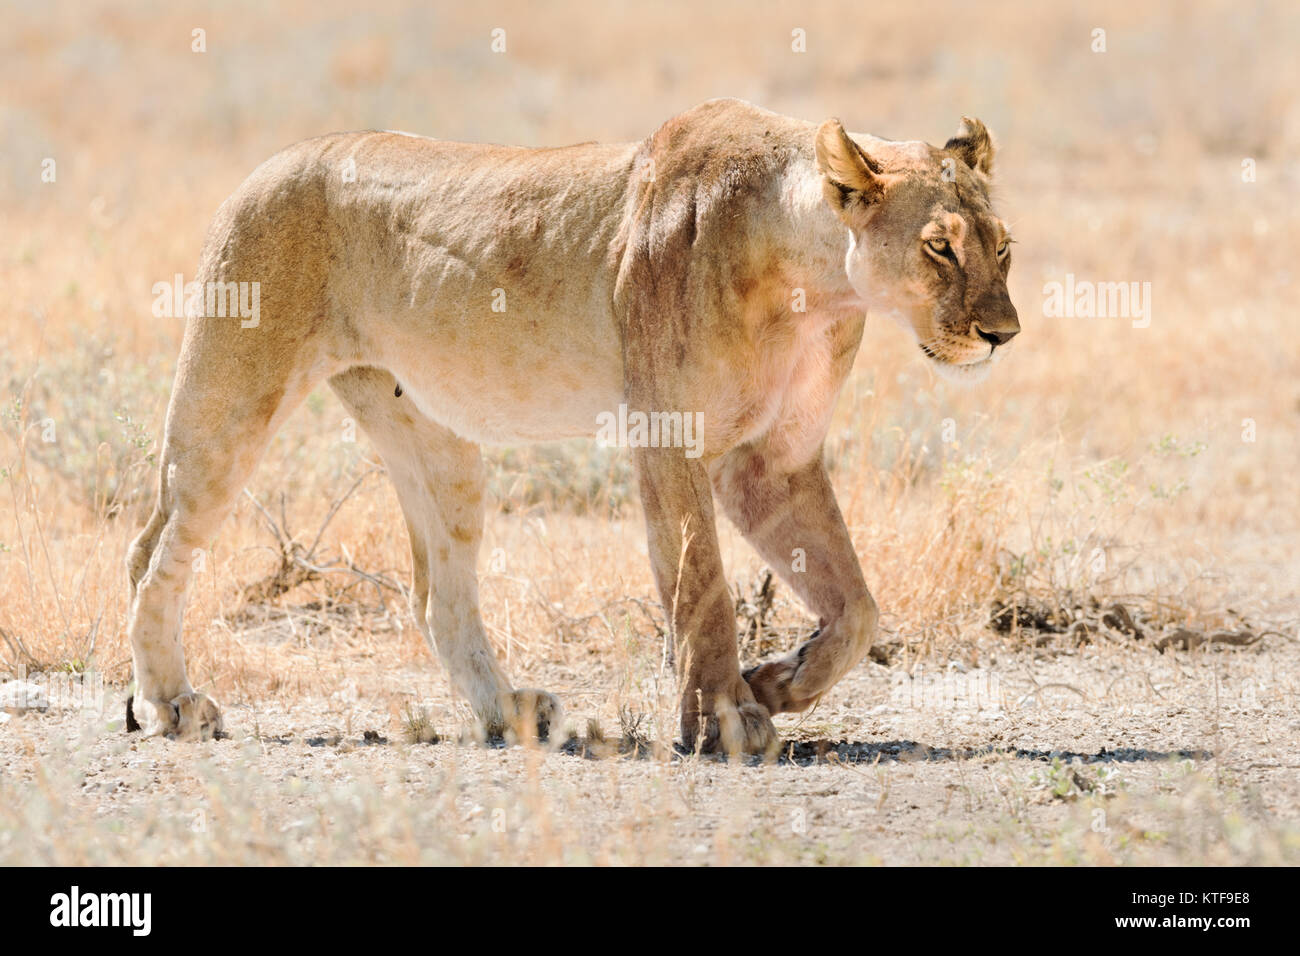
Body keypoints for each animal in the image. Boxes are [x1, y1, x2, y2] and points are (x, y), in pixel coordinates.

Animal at [124, 98, 1018, 753]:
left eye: (1003, 248)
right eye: (940, 247)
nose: (1002, 334)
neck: (815, 277)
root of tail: (270, 161)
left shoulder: (774, 461)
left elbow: (857, 607)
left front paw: (778, 681)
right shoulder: (667, 436)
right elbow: (702, 589)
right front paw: (725, 718)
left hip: (436, 443)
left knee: (438, 598)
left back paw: (509, 714)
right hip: (234, 391)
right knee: (153, 550)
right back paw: (171, 704)